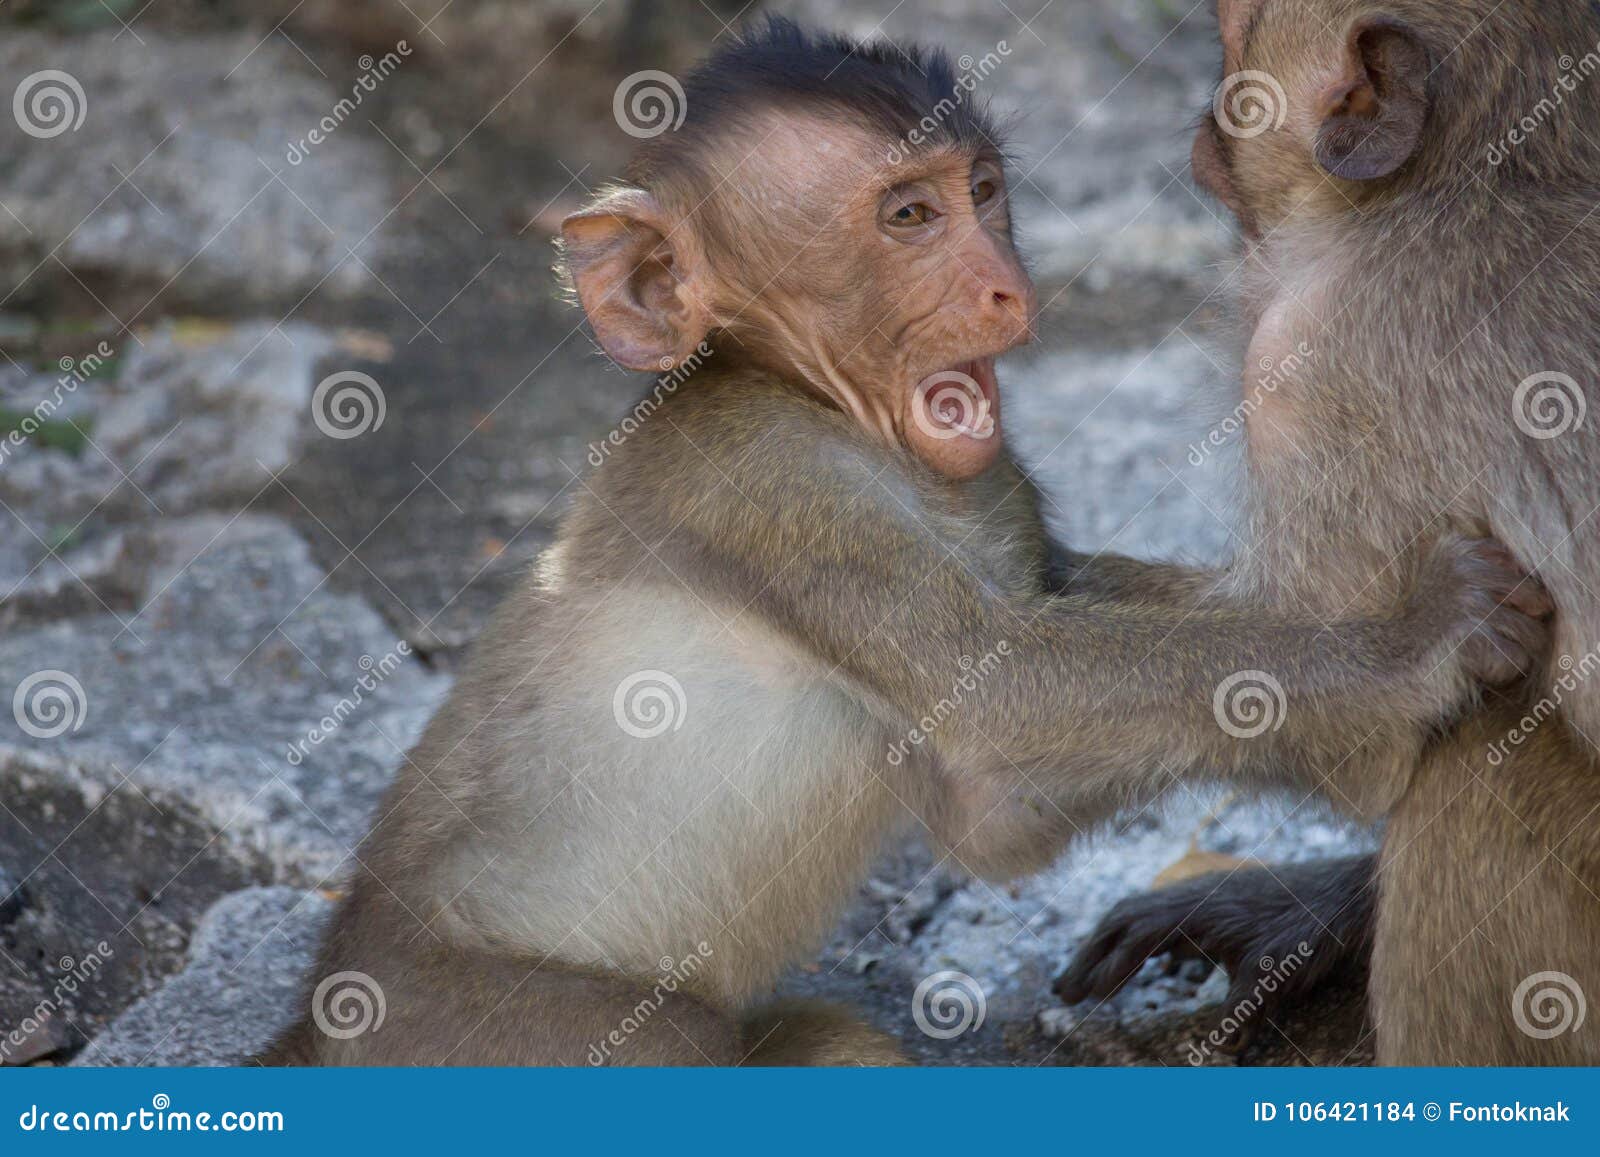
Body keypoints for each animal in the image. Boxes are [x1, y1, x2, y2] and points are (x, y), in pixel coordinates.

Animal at [260, 19, 1543, 1067]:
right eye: (909, 217)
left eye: (983, 191)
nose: (1006, 288)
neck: (818, 400)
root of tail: (319, 1018)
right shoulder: (764, 481)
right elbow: (994, 694)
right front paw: (1414, 643)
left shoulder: (992, 484)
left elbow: (991, 803)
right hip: (468, 1022)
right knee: (670, 1045)